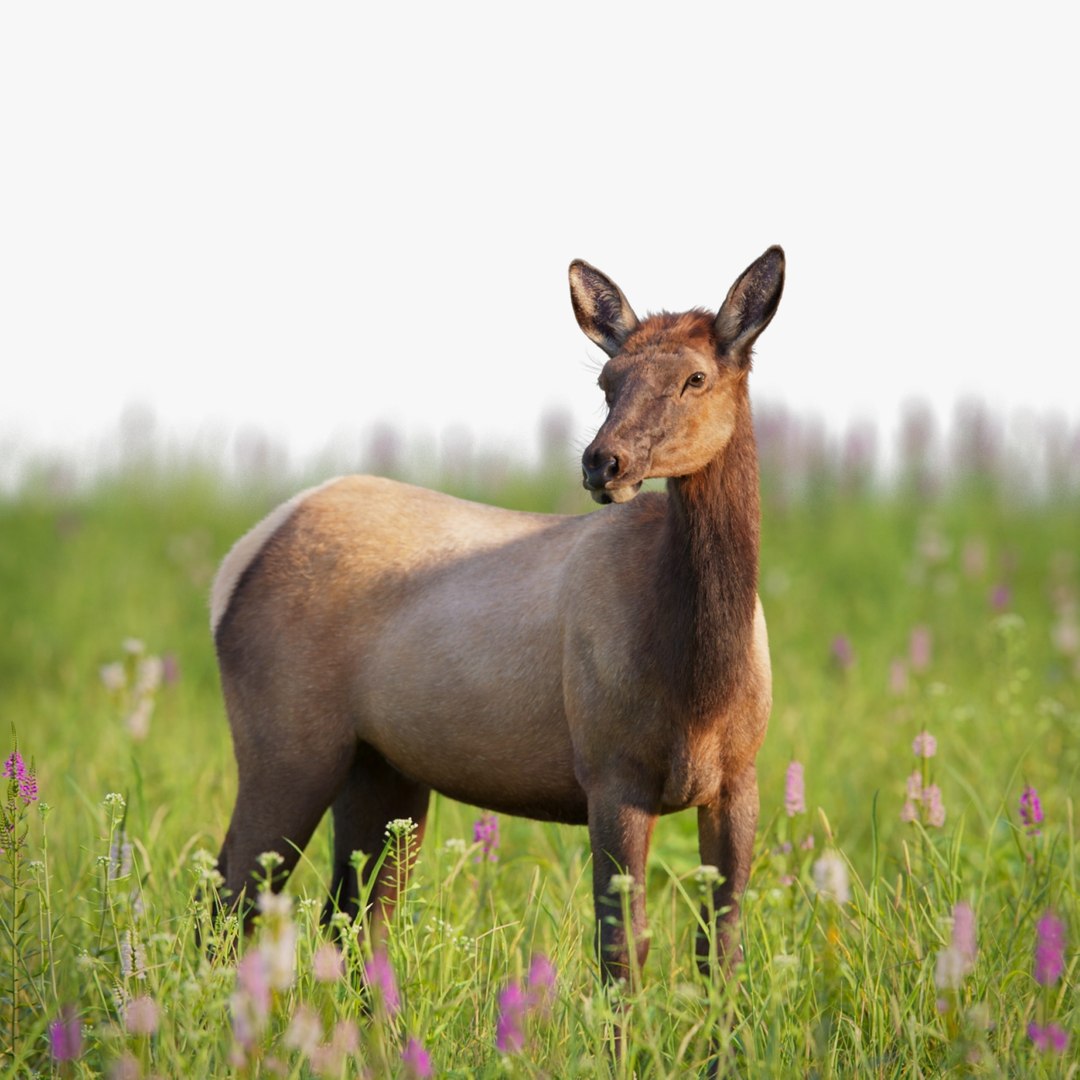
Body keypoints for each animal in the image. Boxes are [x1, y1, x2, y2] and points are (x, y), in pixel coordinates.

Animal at [210, 245, 784, 999]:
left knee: (352, 917)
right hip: (286, 745)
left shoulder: (739, 780)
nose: (603, 461)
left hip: (382, 769)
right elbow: (621, 954)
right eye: (607, 381)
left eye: (696, 377)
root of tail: (233, 568)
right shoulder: (611, 774)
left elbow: (721, 951)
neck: (703, 680)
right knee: (230, 899)